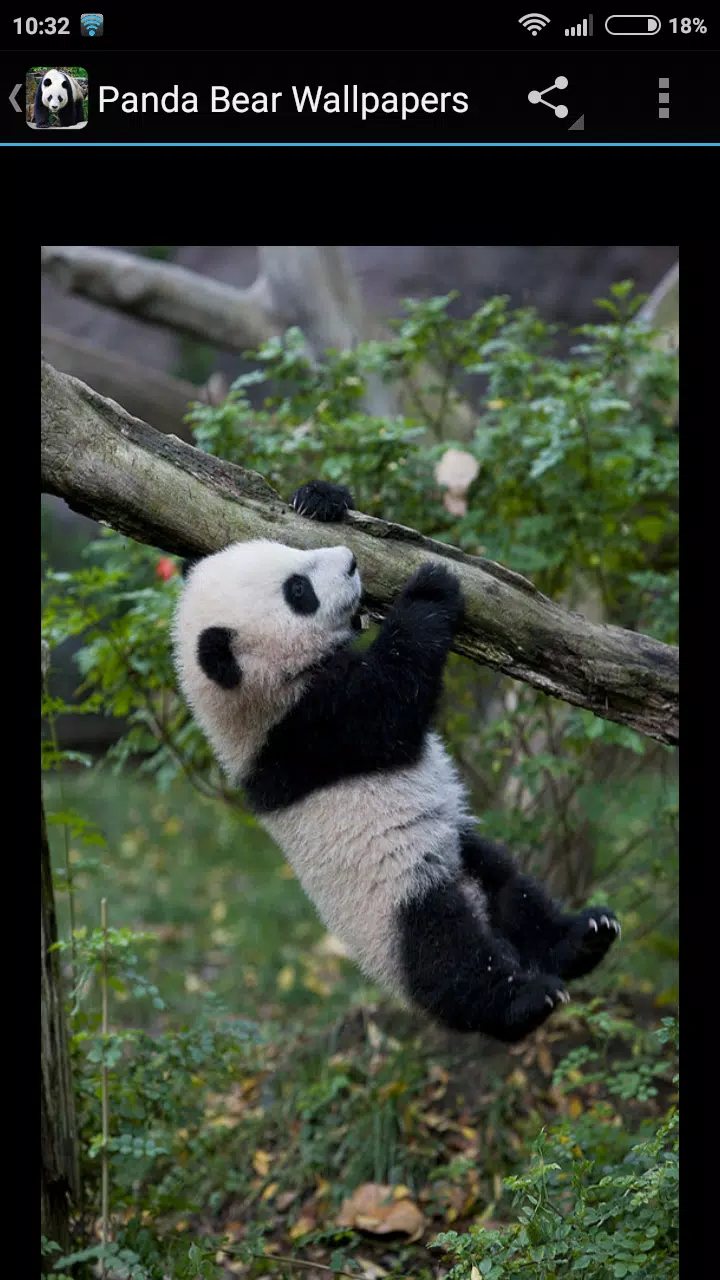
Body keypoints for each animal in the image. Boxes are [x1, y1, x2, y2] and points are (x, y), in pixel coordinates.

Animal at [173, 480, 620, 1043]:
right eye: (299, 591)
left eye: (289, 550)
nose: (349, 562)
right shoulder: (308, 729)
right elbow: (393, 704)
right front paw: (430, 588)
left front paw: (320, 499)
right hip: (394, 909)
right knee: (448, 961)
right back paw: (524, 1001)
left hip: (459, 847)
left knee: (514, 892)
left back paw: (584, 936)